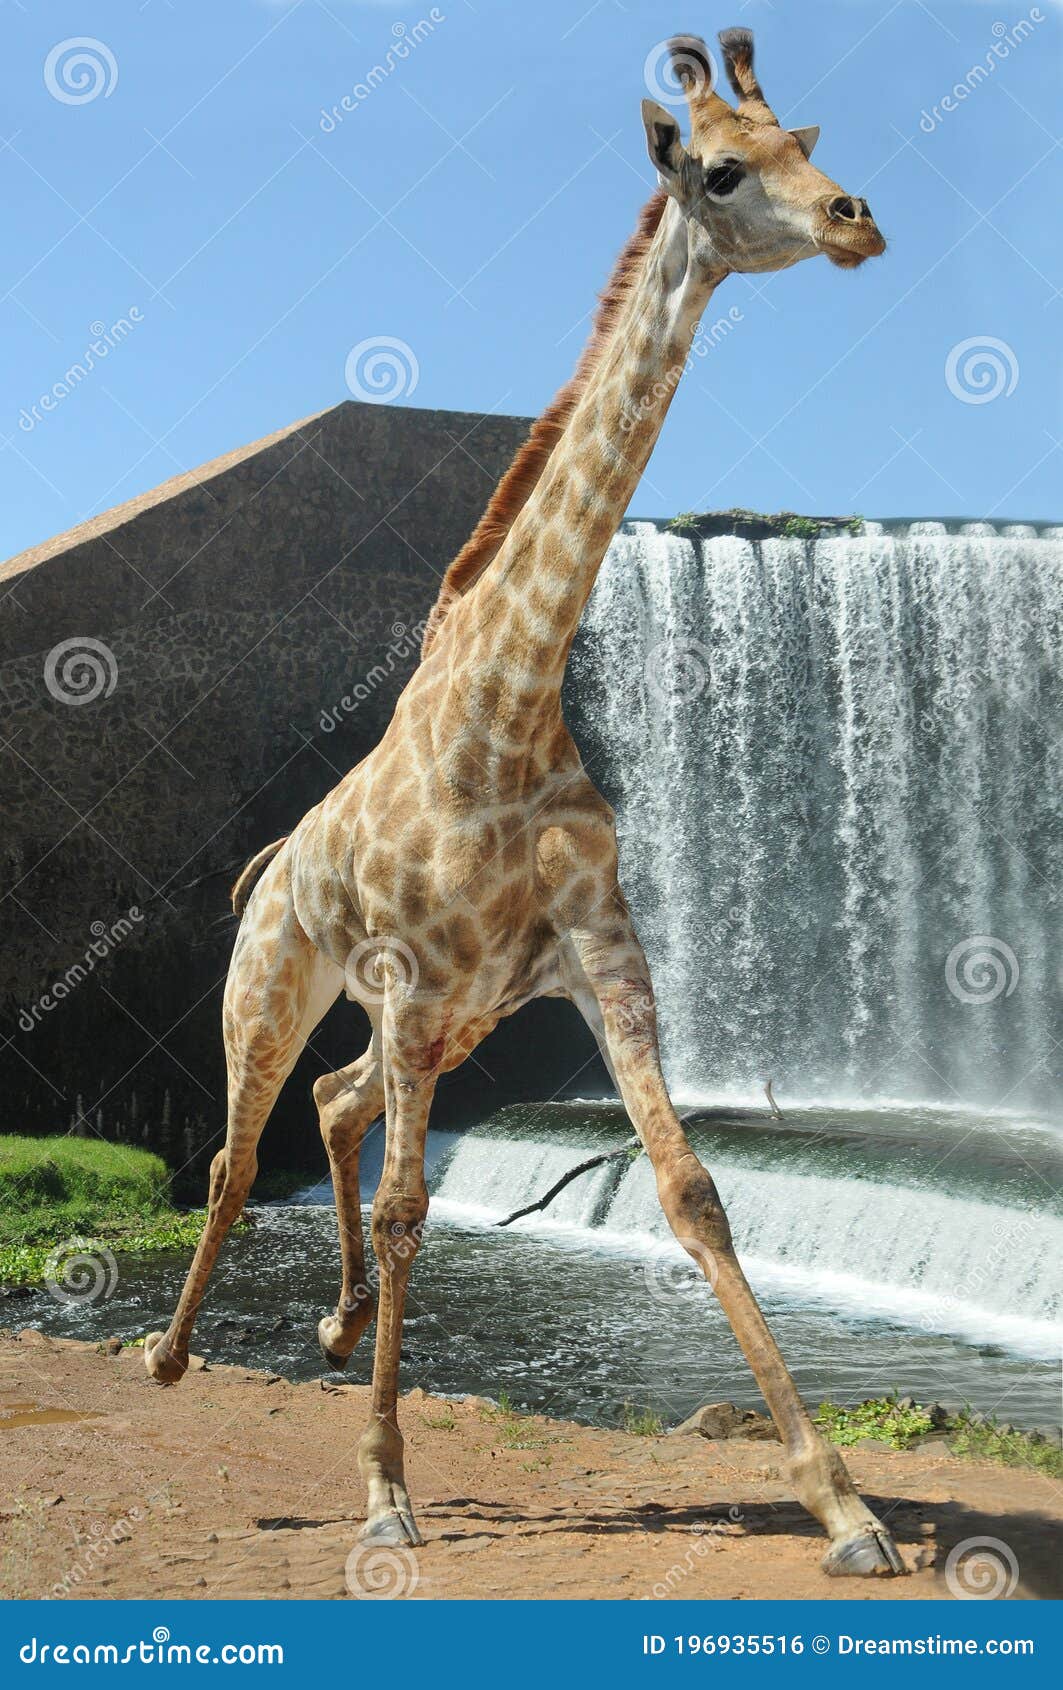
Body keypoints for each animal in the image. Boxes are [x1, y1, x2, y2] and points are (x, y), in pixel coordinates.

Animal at [145, 28, 903, 1577]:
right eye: (719, 169)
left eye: (802, 140)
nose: (856, 217)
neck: (509, 694)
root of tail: (268, 861)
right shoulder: (411, 973)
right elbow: (408, 1203)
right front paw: (385, 1487)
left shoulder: (599, 957)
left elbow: (689, 1189)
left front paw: (843, 1501)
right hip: (285, 985)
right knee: (243, 1150)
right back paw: (176, 1353)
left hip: (459, 1018)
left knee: (335, 1102)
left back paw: (336, 1324)